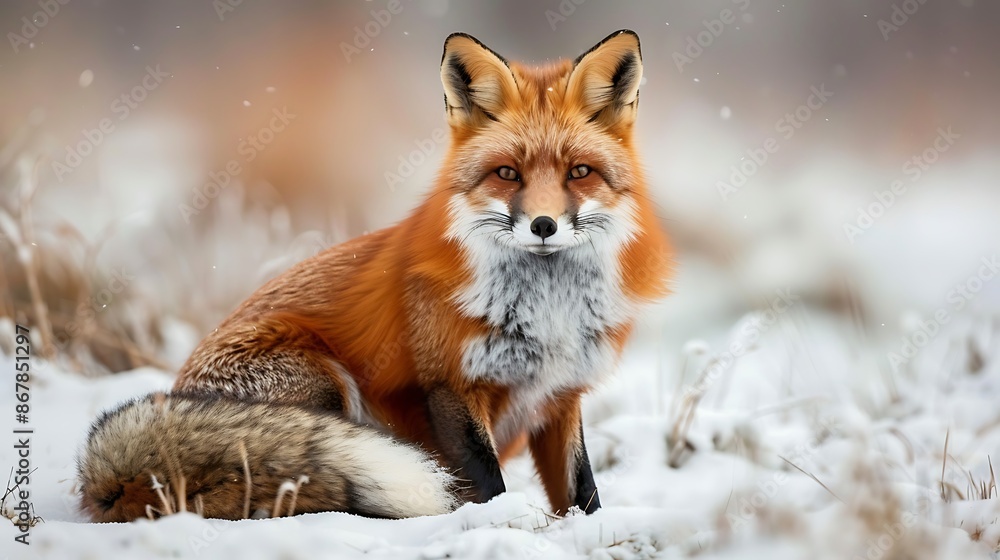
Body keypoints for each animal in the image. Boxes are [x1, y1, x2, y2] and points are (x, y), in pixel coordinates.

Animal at [78, 29, 672, 523]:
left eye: (579, 172)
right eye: (507, 173)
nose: (544, 225)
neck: (548, 314)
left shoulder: (560, 396)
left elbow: (582, 492)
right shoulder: (451, 386)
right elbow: (487, 483)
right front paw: (501, 524)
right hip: (325, 383)